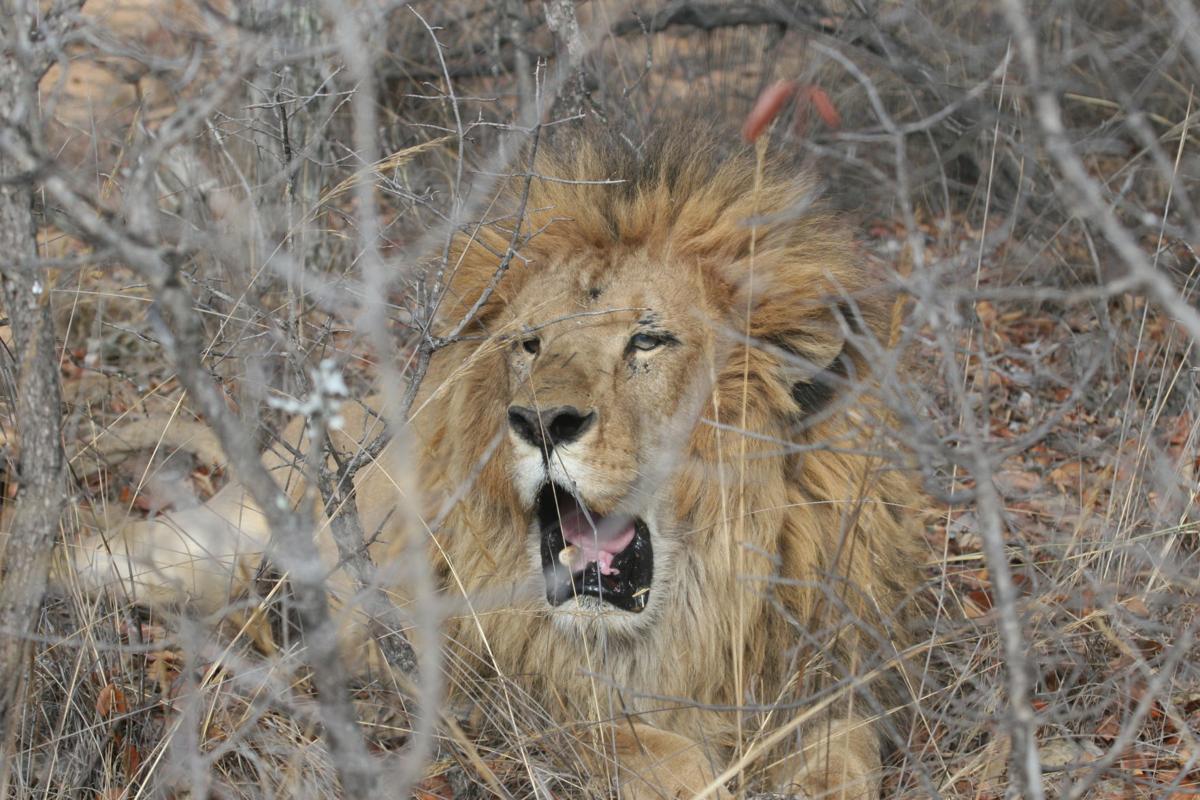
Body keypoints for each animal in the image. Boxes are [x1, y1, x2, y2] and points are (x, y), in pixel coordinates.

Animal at [70, 124, 927, 800]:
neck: (675, 632)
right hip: (206, 546)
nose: (542, 420)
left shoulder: (823, 690)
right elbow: (649, 751)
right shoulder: (511, 693)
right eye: (531, 343)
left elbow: (844, 763)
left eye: (649, 340)